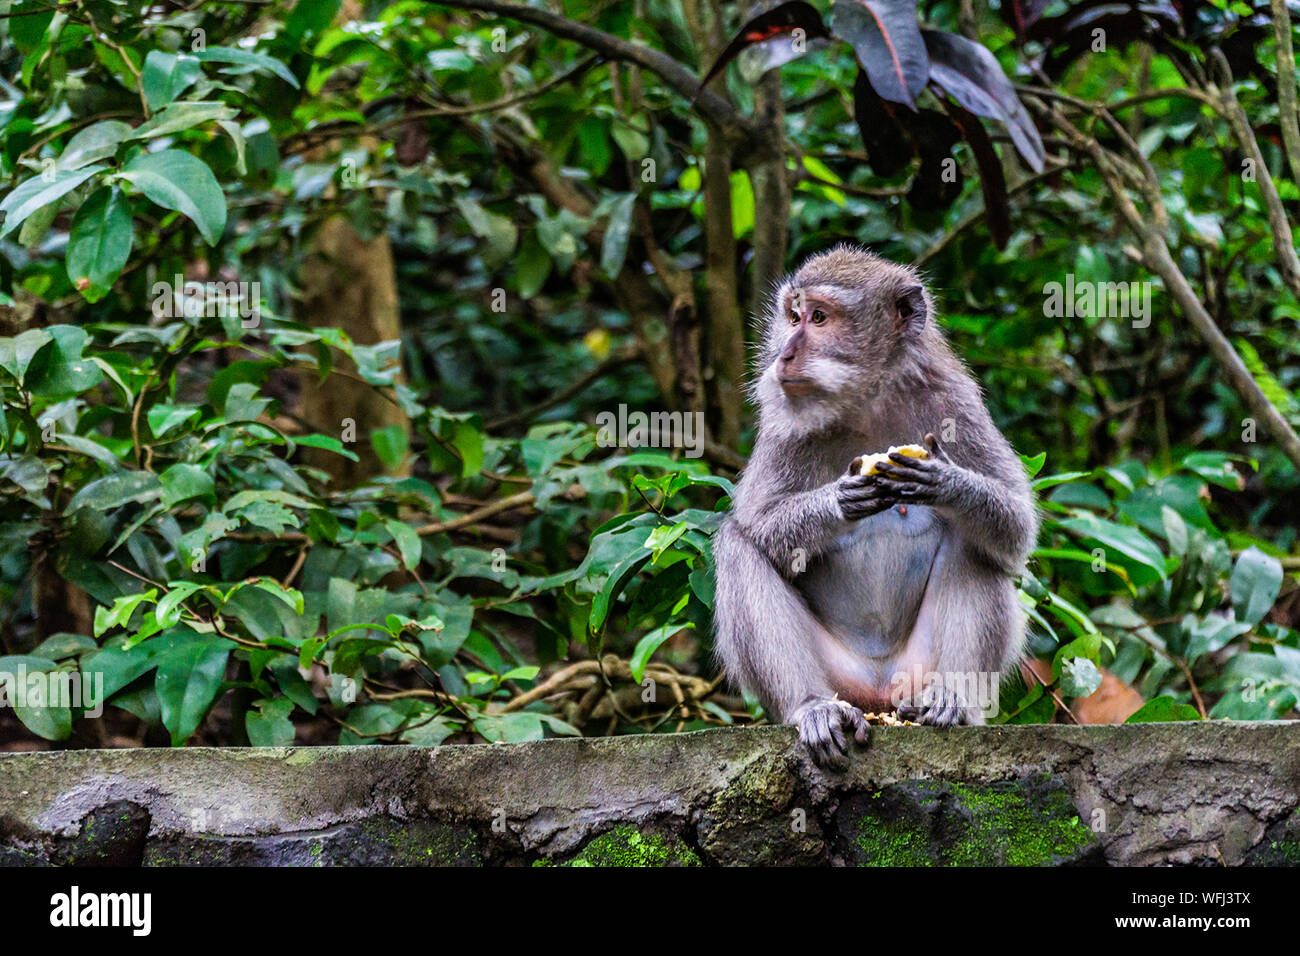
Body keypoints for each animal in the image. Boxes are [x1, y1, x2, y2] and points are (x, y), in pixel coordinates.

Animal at [712, 245, 1038, 769]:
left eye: (819, 318)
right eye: (793, 317)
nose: (784, 354)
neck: (866, 398)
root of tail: (879, 688)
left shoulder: (955, 401)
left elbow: (1016, 525)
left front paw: (949, 484)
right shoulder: (783, 422)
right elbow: (758, 525)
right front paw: (841, 499)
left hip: (916, 670)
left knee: (976, 541)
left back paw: (953, 700)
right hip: (839, 675)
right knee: (737, 543)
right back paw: (813, 707)